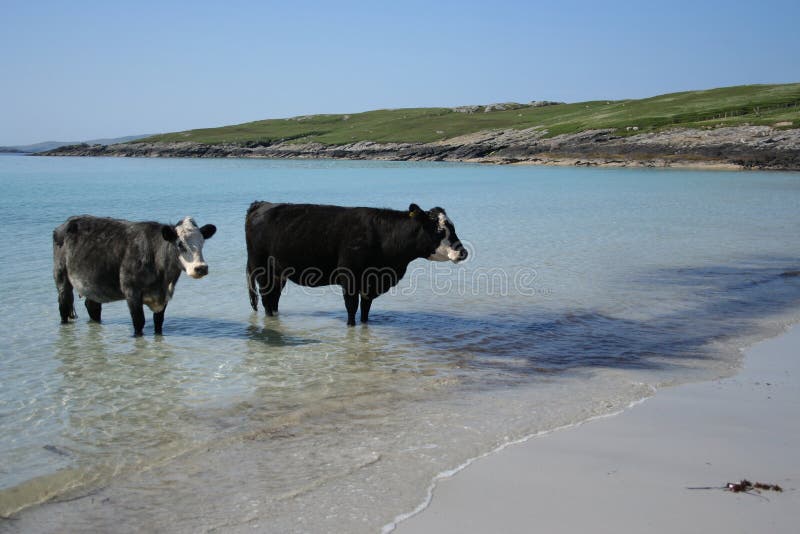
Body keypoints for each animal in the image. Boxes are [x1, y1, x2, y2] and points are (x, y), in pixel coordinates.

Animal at [53, 215, 217, 336]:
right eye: (180, 244)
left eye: (202, 242)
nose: (201, 268)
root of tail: (67, 222)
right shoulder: (131, 292)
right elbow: (139, 322)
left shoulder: (163, 297)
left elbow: (159, 322)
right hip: (61, 277)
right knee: (63, 305)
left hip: (92, 284)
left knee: (92, 307)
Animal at [245, 202, 468, 326]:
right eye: (439, 230)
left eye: (453, 227)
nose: (463, 252)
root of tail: (262, 204)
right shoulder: (350, 277)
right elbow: (351, 308)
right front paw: (351, 326)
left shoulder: (371, 282)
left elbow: (366, 309)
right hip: (262, 269)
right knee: (266, 299)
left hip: (278, 273)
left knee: (274, 299)